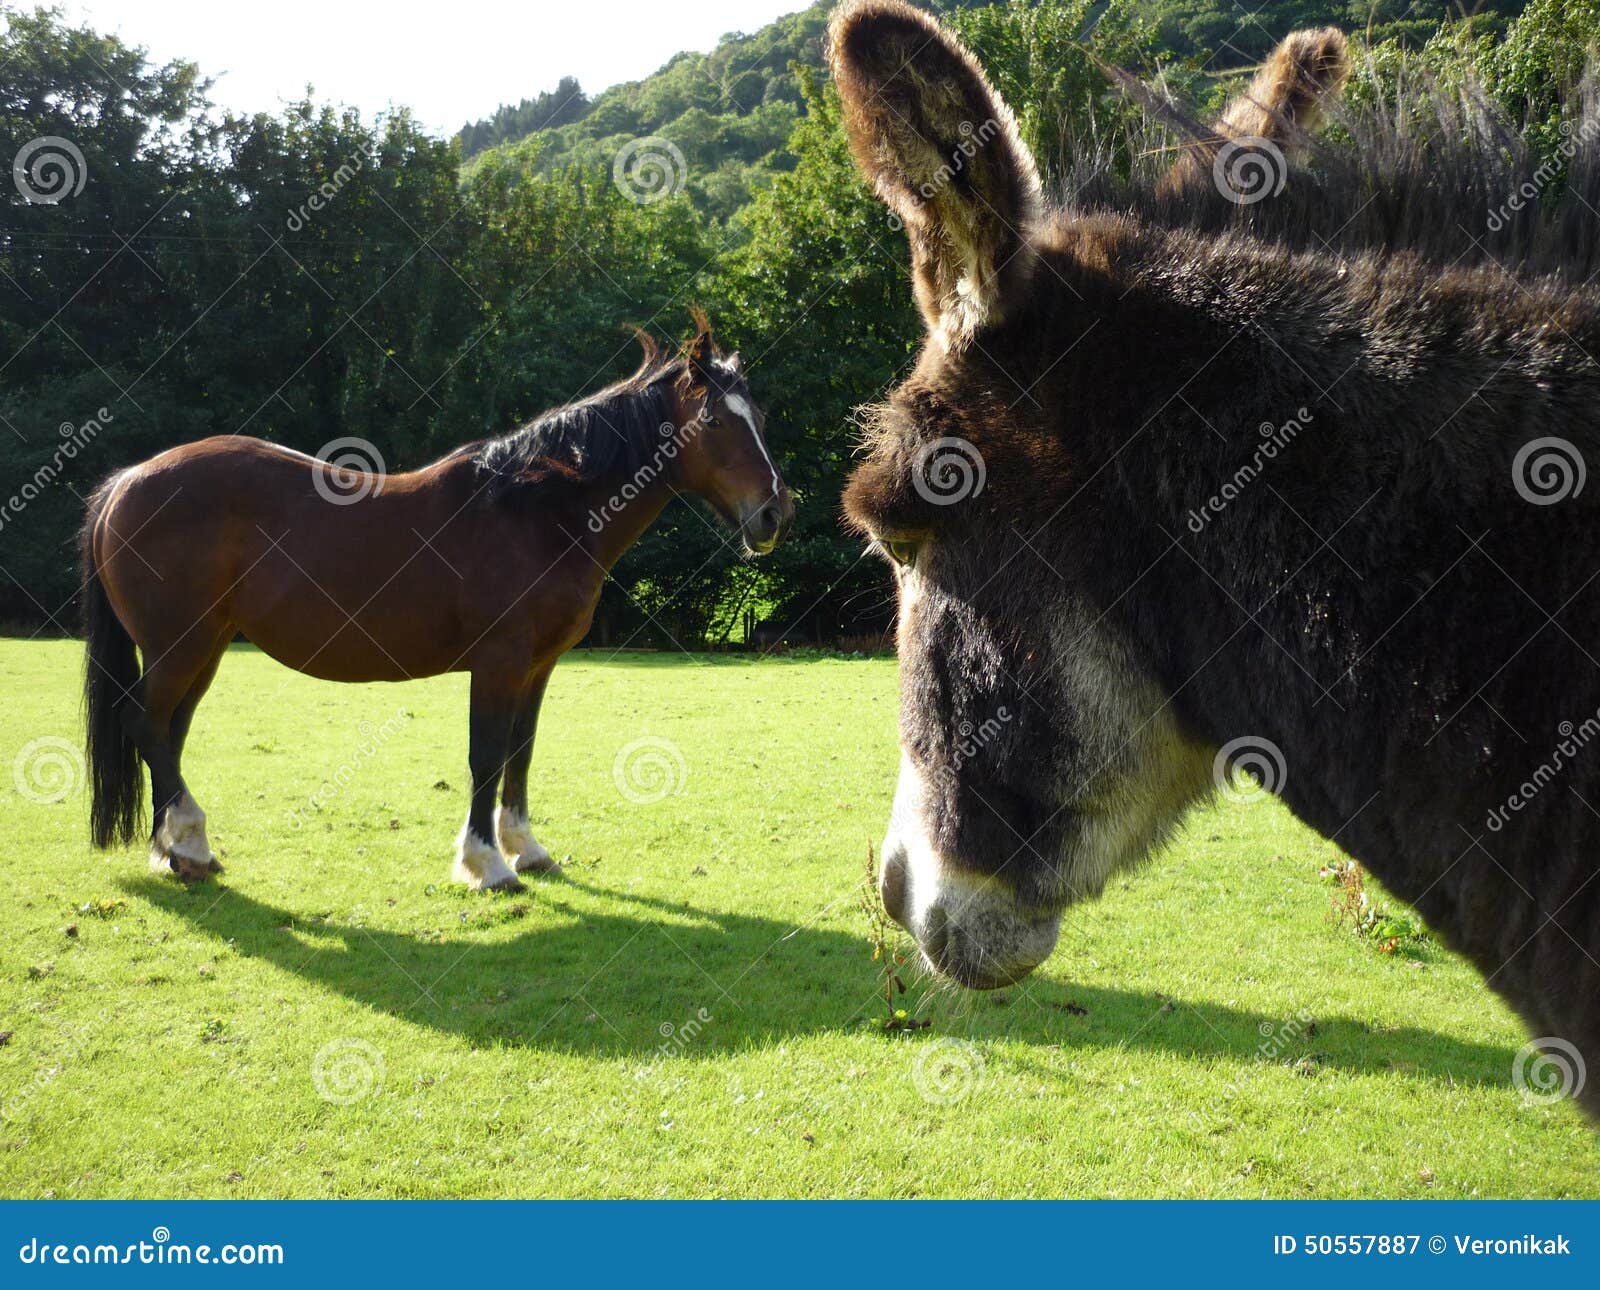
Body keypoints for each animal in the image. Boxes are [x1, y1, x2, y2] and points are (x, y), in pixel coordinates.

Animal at [79, 316, 792, 893]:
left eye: (760, 418)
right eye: (717, 421)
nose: (775, 513)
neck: (537, 508)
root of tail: (125, 482)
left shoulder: (538, 666)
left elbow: (520, 750)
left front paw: (526, 848)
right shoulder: (499, 662)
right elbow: (486, 753)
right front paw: (487, 864)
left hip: (203, 648)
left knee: (167, 732)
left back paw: (173, 852)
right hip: (181, 646)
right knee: (145, 725)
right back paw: (190, 844)